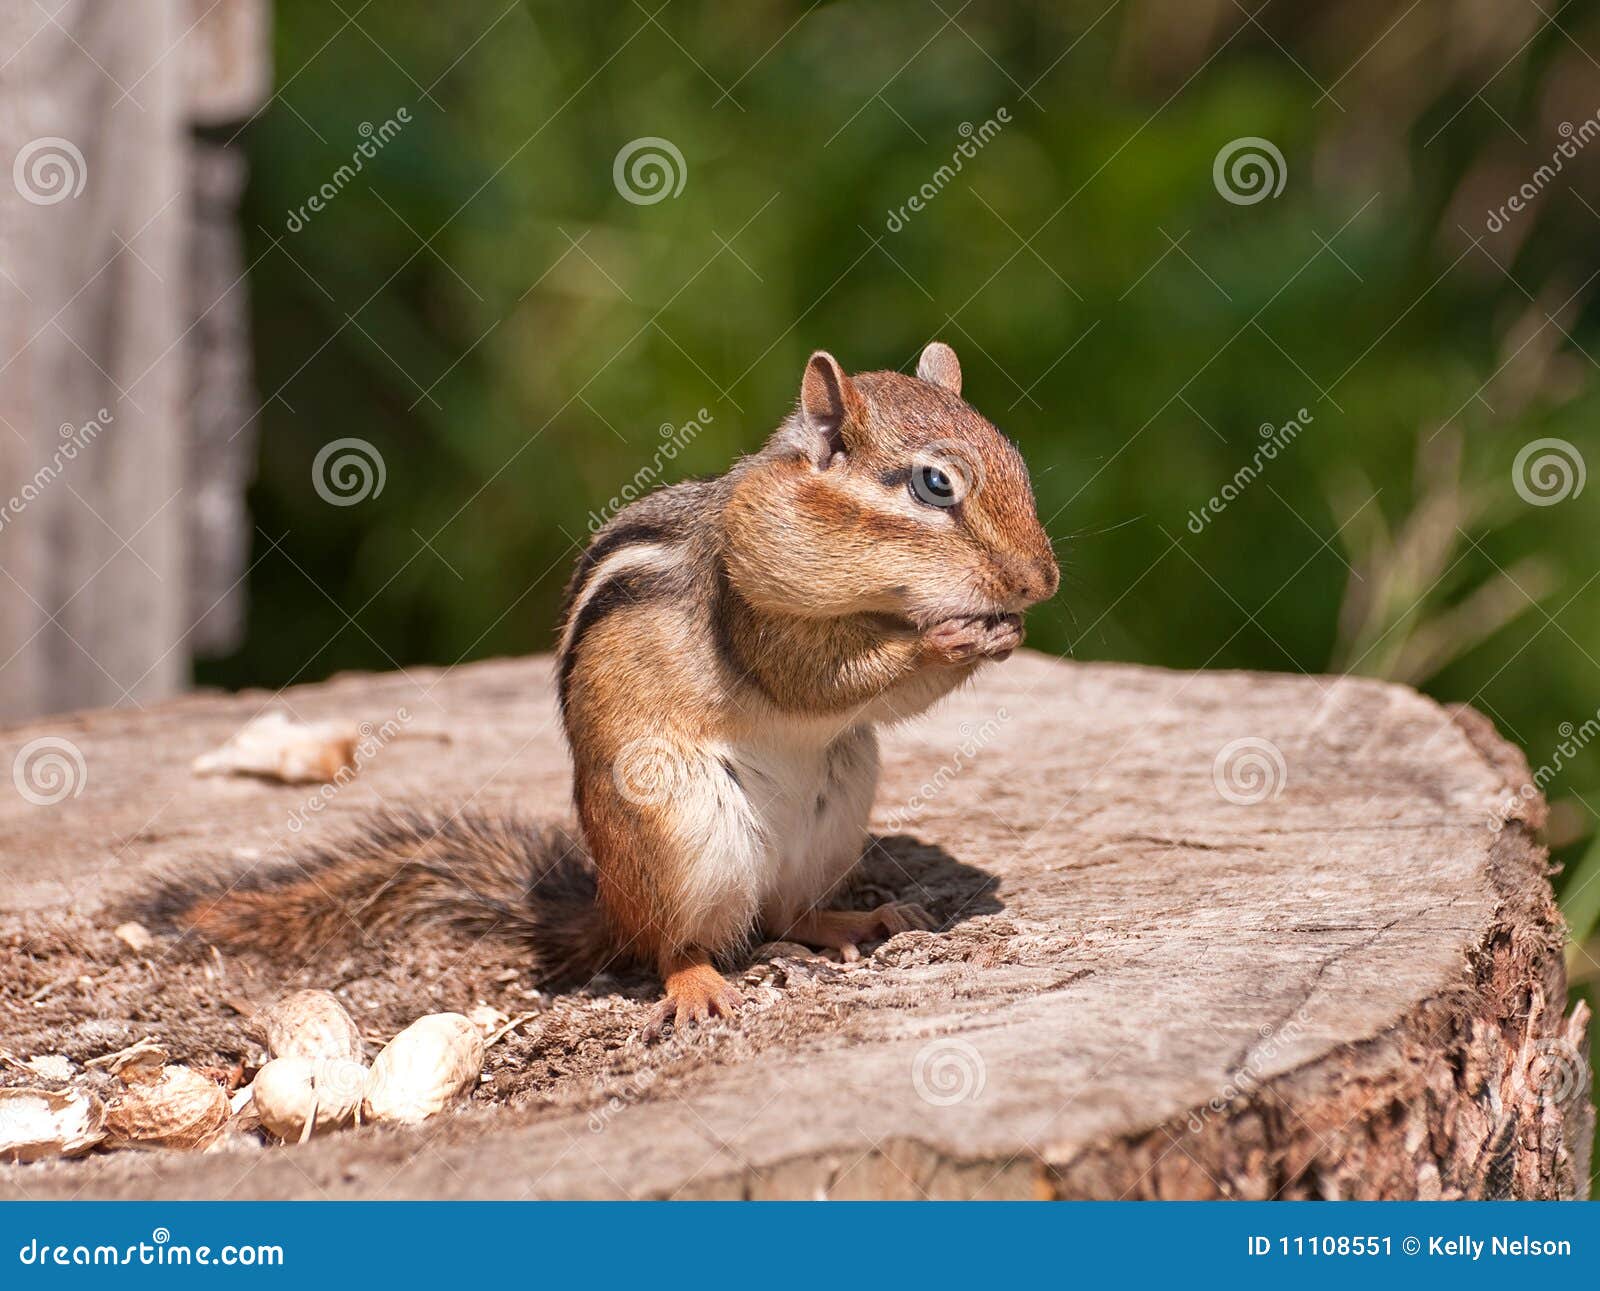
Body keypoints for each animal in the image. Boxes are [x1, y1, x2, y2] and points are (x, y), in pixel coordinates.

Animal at [139, 342, 1059, 1038]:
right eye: (934, 485)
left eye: (1016, 459)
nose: (1043, 581)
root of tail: (612, 905)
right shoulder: (752, 613)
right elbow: (816, 675)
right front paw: (948, 635)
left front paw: (1002, 632)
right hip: (678, 827)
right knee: (676, 943)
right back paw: (698, 985)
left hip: (840, 803)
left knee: (783, 914)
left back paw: (856, 920)